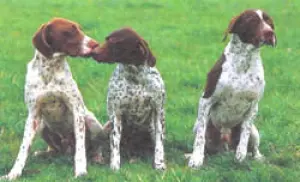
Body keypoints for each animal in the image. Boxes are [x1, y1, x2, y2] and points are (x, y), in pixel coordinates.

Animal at [0, 17, 111, 180]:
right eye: (69, 32)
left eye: (80, 29)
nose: (95, 44)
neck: (50, 69)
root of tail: (66, 150)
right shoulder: (33, 115)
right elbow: (23, 149)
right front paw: (13, 173)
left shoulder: (77, 111)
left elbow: (80, 149)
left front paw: (81, 171)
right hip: (41, 126)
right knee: (53, 150)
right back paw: (43, 154)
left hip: (91, 121)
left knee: (95, 146)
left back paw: (97, 157)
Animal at [91, 27, 166, 171]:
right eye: (106, 39)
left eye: (114, 42)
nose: (93, 52)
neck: (135, 75)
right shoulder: (116, 114)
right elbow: (115, 143)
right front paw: (114, 165)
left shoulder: (158, 111)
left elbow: (159, 144)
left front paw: (159, 163)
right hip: (106, 127)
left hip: (150, 128)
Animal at [189, 8, 276, 168]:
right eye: (252, 21)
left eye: (269, 22)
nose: (270, 33)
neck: (244, 61)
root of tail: (225, 148)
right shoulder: (206, 100)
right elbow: (199, 139)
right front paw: (196, 159)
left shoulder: (253, 106)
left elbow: (244, 138)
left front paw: (240, 157)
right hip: (198, 125)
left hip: (254, 130)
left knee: (253, 147)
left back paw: (257, 158)